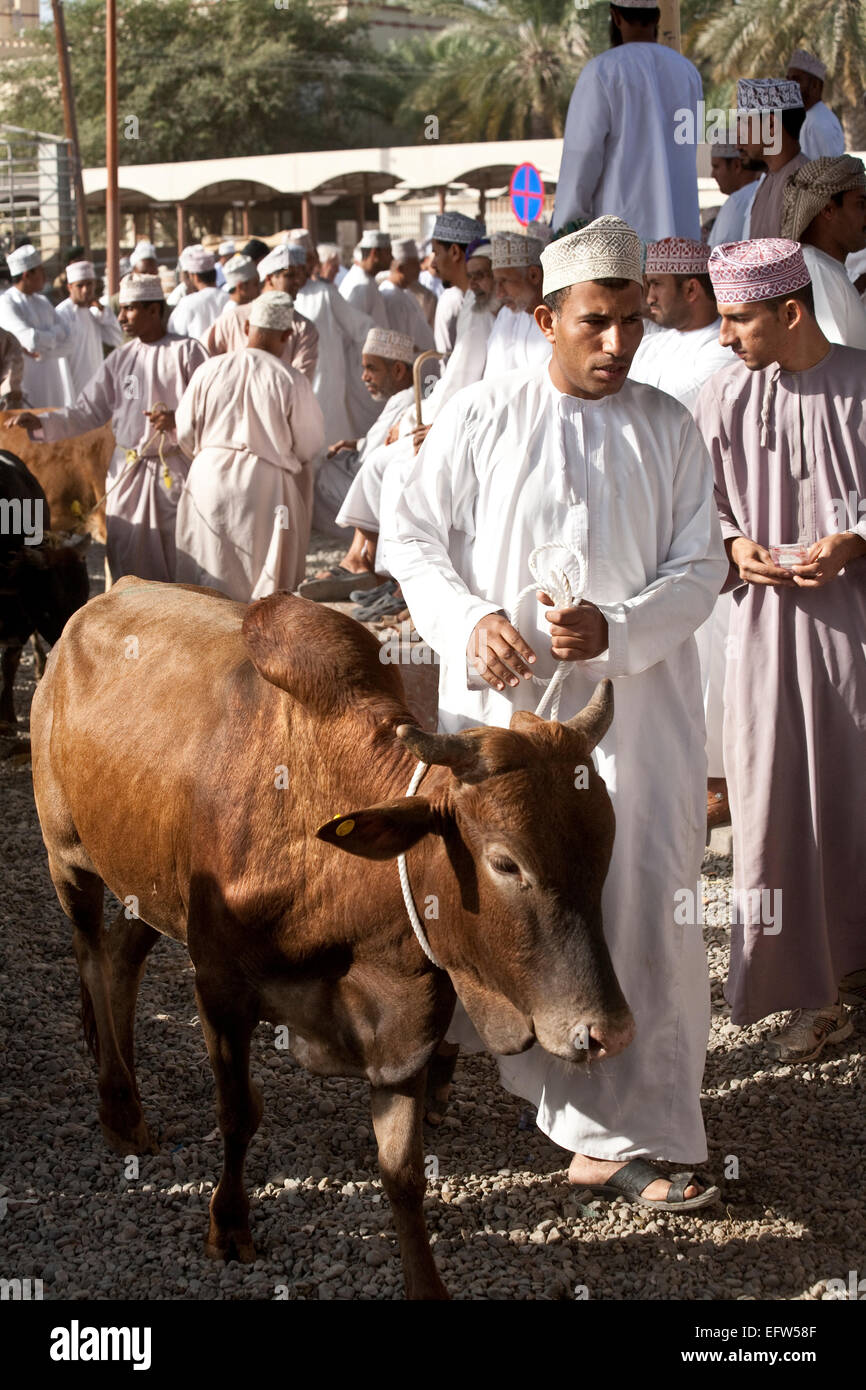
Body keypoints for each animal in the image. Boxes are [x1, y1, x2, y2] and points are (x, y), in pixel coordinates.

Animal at [30, 579, 634, 1300]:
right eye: (505, 863)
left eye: (605, 850)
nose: (607, 1032)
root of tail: (97, 603)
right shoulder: (220, 987)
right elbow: (237, 1114)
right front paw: (228, 1224)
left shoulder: (408, 1028)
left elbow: (402, 1173)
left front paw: (425, 1284)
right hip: (68, 857)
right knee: (92, 958)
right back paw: (118, 1106)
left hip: (147, 885)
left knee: (121, 957)